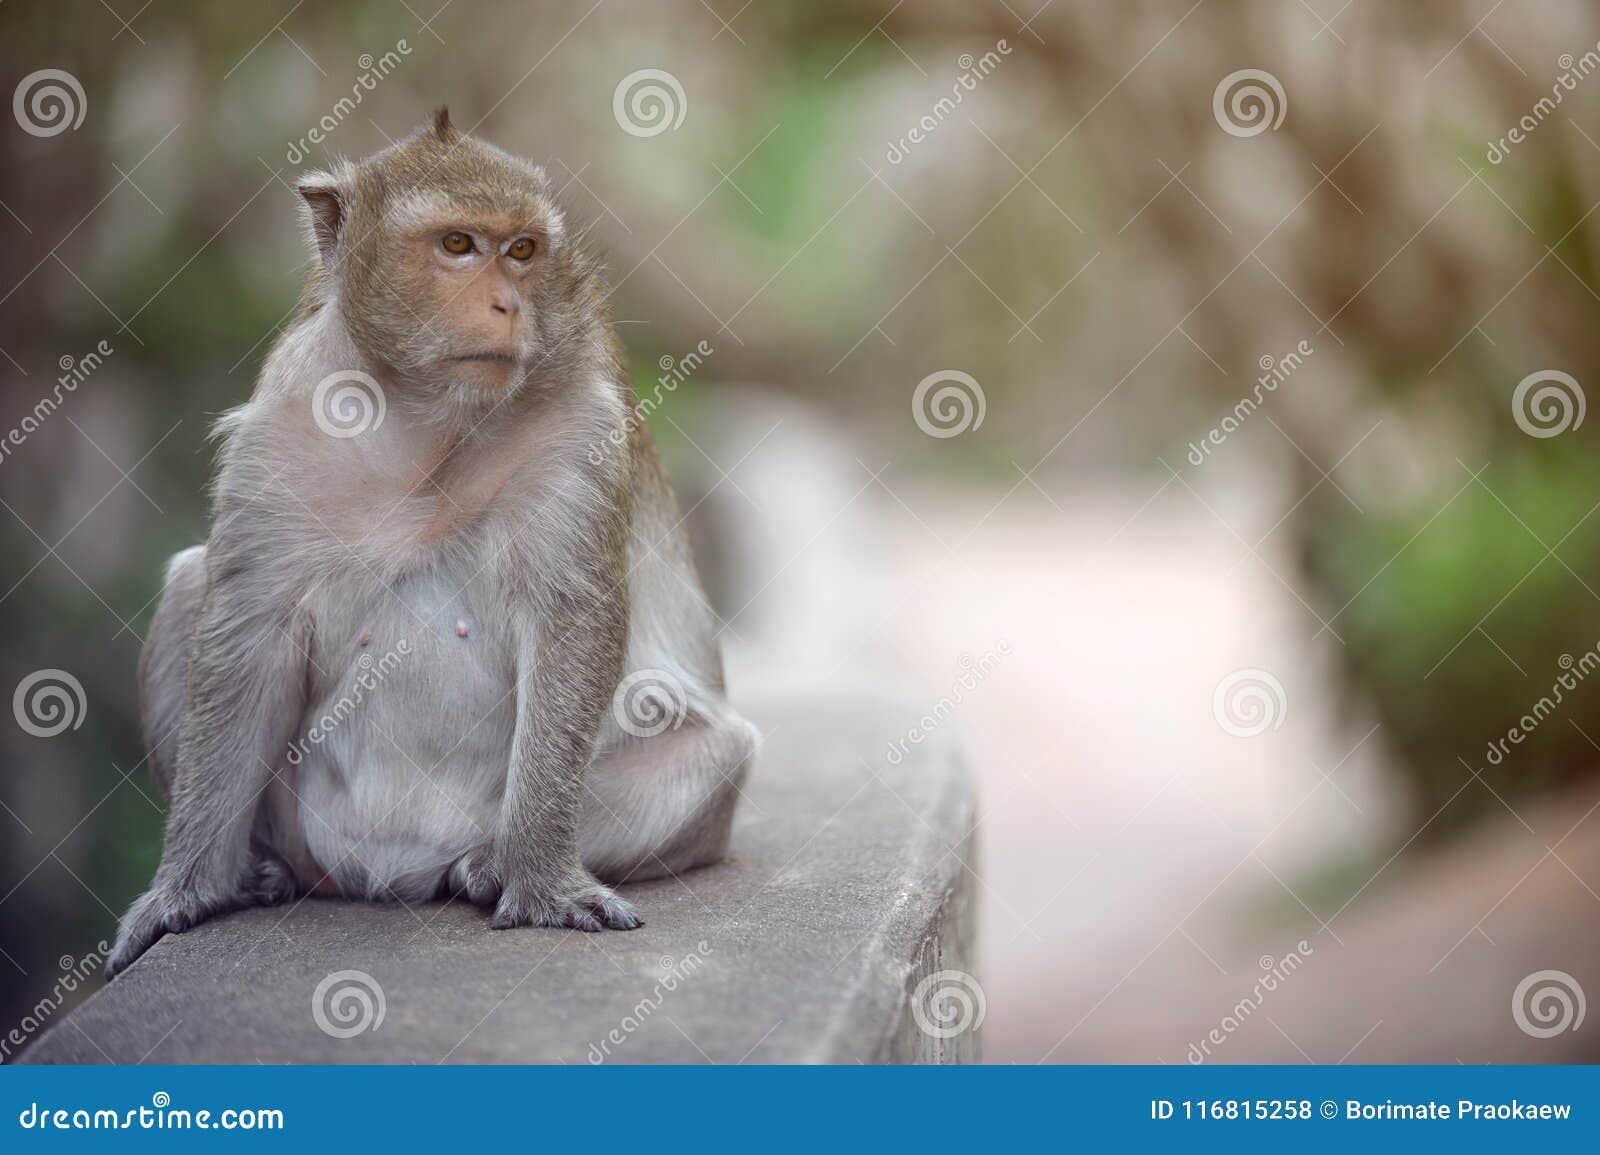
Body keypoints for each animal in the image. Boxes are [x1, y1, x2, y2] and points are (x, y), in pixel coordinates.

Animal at [105, 109, 758, 978]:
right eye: (457, 245)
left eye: (522, 249)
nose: (508, 304)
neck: (426, 419)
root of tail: (382, 876)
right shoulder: (282, 423)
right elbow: (248, 632)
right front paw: (185, 893)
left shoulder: (580, 427)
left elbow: (571, 622)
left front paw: (541, 882)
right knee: (189, 586)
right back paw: (260, 872)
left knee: (715, 752)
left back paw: (486, 867)